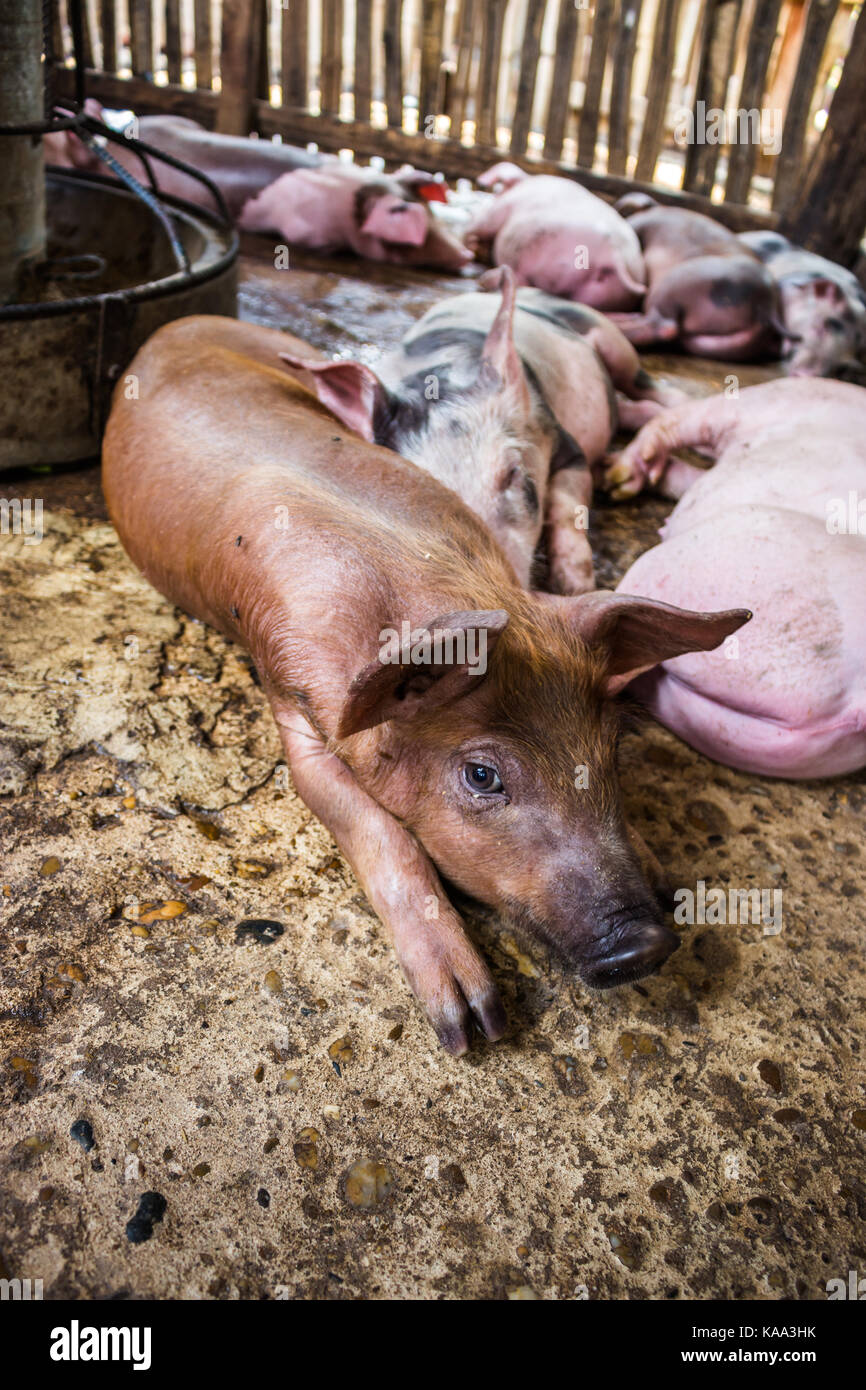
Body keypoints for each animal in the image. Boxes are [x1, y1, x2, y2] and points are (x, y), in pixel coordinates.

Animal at [101, 314, 748, 1051]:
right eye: (482, 776)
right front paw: (474, 1027)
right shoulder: (291, 696)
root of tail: (185, 321)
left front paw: (664, 876)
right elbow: (369, 824)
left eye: (612, 749)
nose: (646, 944)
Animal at [280, 266, 683, 595]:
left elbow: (567, 506)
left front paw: (575, 586)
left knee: (646, 386)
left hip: (609, 339)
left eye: (514, 473)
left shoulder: (559, 436)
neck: (439, 378)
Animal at [464, 164, 646, 310]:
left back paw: (486, 279)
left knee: (523, 281)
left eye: (497, 193)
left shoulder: (498, 210)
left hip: (550, 267)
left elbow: (477, 225)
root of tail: (612, 252)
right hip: (603, 295)